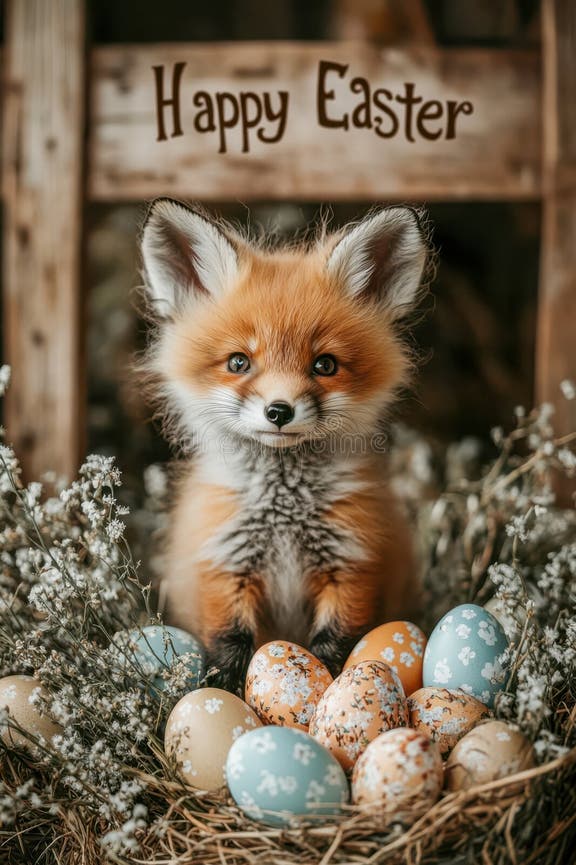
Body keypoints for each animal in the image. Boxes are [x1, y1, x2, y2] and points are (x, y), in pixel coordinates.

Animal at [140, 198, 429, 692]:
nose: (278, 411)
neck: (284, 515)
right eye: (239, 362)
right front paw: (229, 695)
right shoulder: (224, 566)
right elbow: (230, 646)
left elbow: (337, 647)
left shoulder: (352, 565)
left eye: (325, 365)